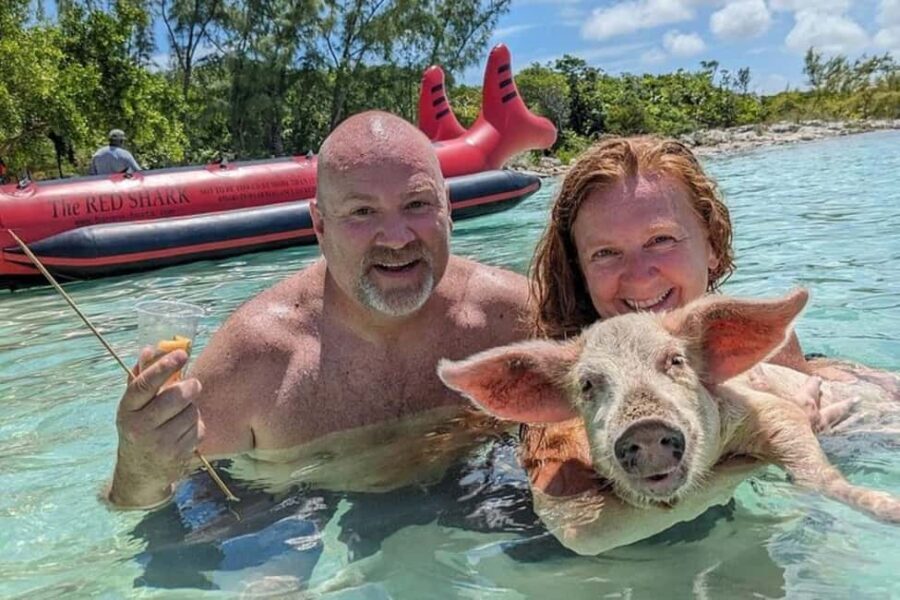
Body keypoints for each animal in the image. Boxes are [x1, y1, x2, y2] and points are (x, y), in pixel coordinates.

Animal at [437, 290, 900, 552]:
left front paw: (890, 511)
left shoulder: (762, 409)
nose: (645, 430)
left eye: (675, 361)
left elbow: (816, 474)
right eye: (587, 384)